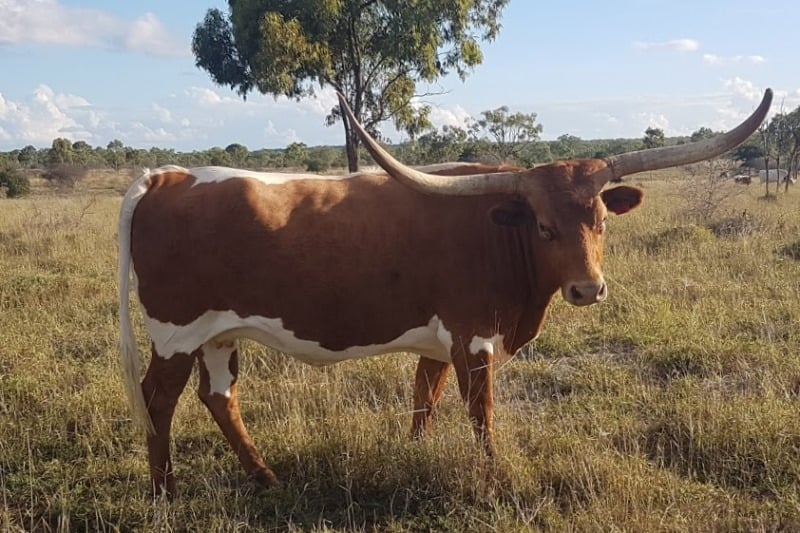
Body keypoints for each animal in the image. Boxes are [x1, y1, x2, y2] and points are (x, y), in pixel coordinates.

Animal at [119, 88, 772, 498]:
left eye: (602, 221)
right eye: (543, 226)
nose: (588, 289)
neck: (497, 231)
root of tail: (163, 176)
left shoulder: (439, 342)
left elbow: (423, 402)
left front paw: (413, 456)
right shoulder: (475, 337)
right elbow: (481, 414)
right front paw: (499, 480)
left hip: (219, 333)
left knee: (218, 396)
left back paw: (264, 478)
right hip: (176, 333)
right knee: (158, 400)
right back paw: (164, 492)